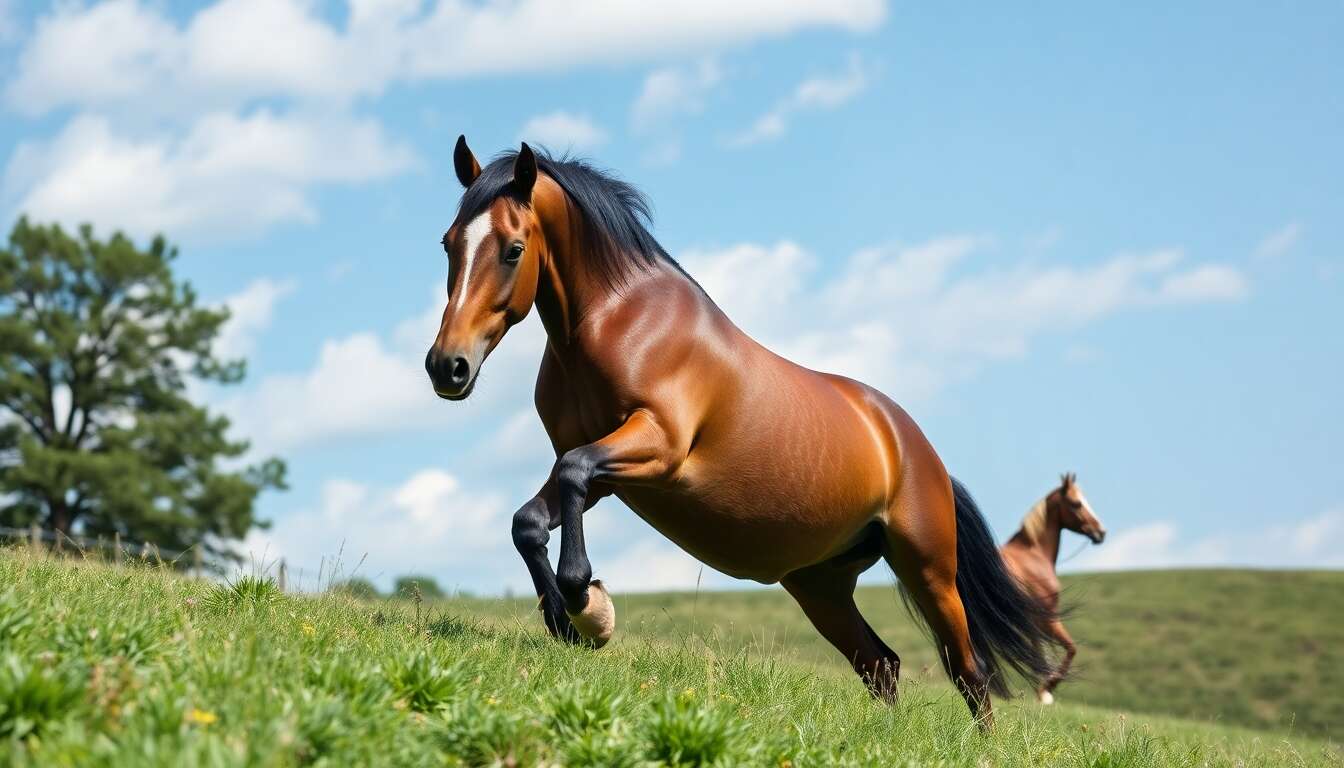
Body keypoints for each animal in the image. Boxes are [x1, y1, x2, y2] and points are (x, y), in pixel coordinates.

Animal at [425, 137, 1062, 726]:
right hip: (821, 585)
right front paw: (565, 618)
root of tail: (917, 447)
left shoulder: (658, 449)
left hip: (929, 570)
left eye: (513, 249)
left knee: (969, 672)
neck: (623, 322)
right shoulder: (609, 473)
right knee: (881, 664)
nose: (447, 367)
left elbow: (574, 473)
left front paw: (587, 603)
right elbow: (532, 518)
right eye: (449, 243)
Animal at [999, 473, 1107, 704]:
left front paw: (1042, 691)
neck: (1033, 555)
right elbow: (1070, 648)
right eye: (1076, 503)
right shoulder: (1047, 619)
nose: (1101, 532)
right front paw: (1048, 688)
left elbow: (1039, 654)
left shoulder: (1032, 622)